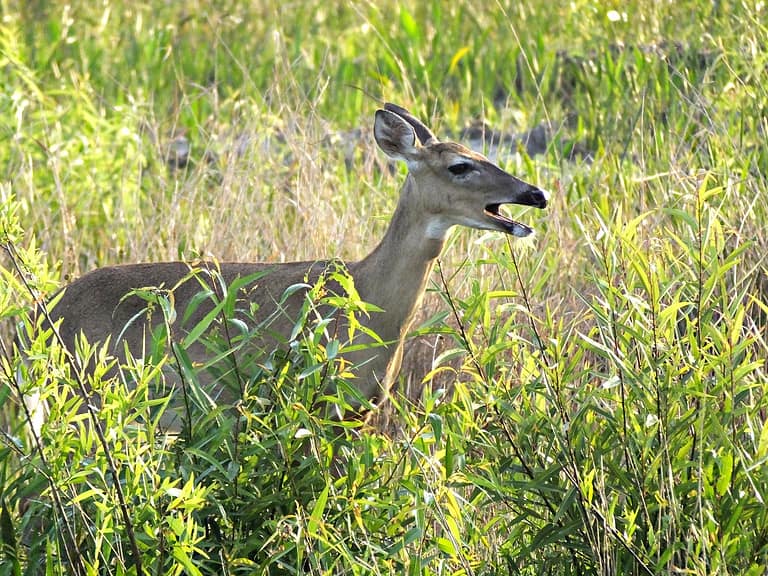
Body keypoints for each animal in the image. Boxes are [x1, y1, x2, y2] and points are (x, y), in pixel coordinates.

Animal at [24, 103, 549, 432]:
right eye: (460, 165)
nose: (535, 194)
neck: (368, 299)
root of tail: (43, 317)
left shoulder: (360, 412)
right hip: (94, 402)